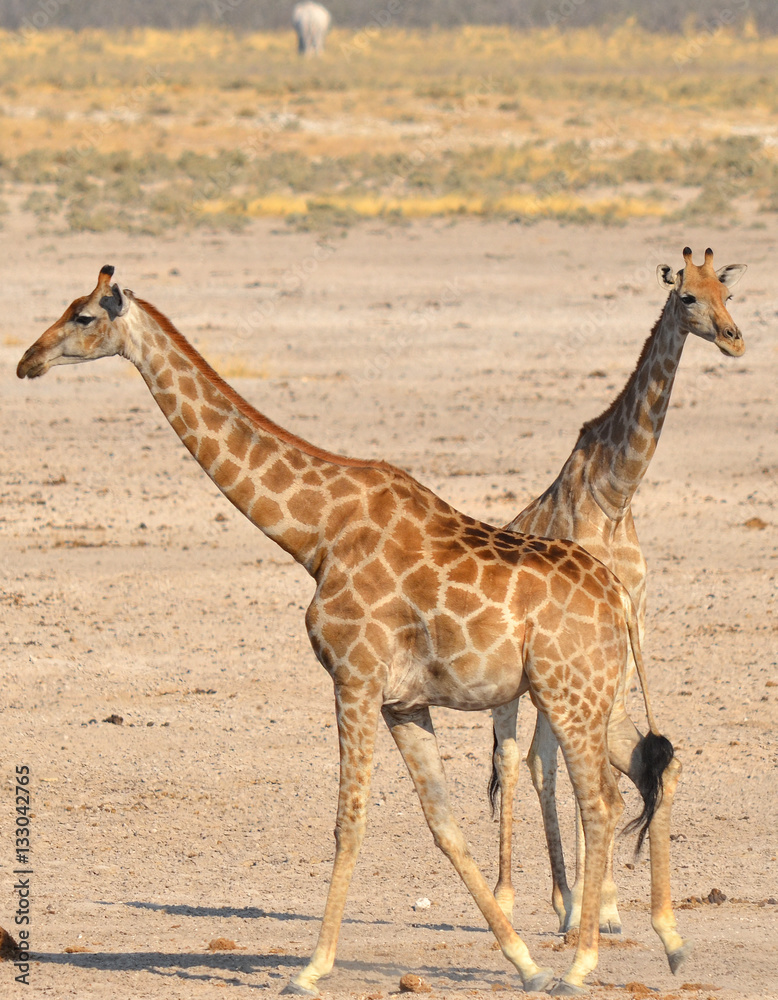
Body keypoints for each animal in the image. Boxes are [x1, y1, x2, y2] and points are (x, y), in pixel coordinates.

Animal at [17, 265, 689, 996]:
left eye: (83, 316)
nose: (27, 361)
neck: (314, 533)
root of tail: (619, 595)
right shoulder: (403, 701)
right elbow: (444, 825)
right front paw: (523, 961)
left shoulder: (354, 677)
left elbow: (349, 821)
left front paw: (311, 968)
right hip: (594, 697)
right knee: (647, 769)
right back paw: (657, 946)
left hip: (569, 694)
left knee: (602, 801)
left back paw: (585, 962)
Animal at [488, 247, 746, 935]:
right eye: (687, 296)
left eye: (728, 291)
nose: (734, 339)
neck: (616, 493)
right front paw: (597, 906)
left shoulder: (634, 621)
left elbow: (605, 758)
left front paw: (600, 904)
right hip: (515, 683)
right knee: (512, 759)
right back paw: (510, 900)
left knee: (542, 762)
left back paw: (562, 901)